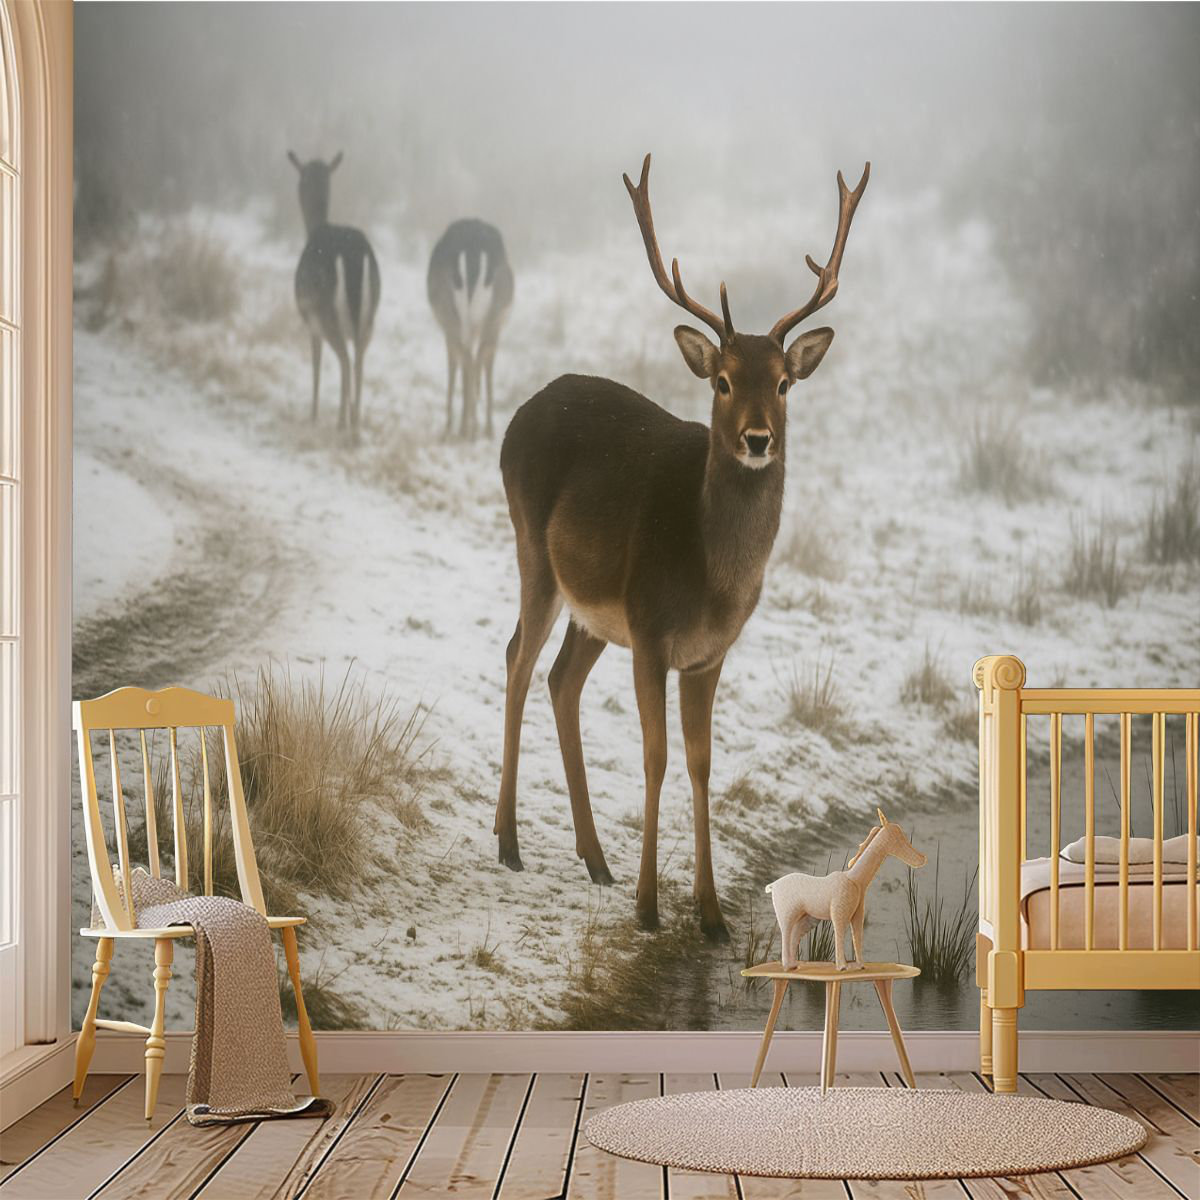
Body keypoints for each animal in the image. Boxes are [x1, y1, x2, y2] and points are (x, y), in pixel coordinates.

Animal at [288, 150, 381, 445]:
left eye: (301, 178)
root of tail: (354, 256)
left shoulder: (310, 319)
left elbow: (316, 363)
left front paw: (313, 415)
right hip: (369, 316)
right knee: (359, 359)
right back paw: (355, 422)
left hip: (326, 310)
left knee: (344, 358)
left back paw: (343, 422)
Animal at [427, 219, 515, 439]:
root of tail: (473, 251)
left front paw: (452, 425)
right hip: (490, 316)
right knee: (475, 356)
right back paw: (473, 427)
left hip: (453, 316)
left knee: (469, 357)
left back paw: (469, 427)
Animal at [494, 153, 870, 939]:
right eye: (722, 380)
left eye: (784, 383)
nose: (757, 439)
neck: (713, 579)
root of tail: (518, 415)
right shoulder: (650, 630)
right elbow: (657, 757)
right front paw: (647, 909)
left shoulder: (709, 652)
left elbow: (700, 763)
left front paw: (711, 912)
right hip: (534, 552)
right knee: (517, 659)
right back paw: (509, 842)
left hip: (592, 609)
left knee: (561, 680)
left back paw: (595, 859)